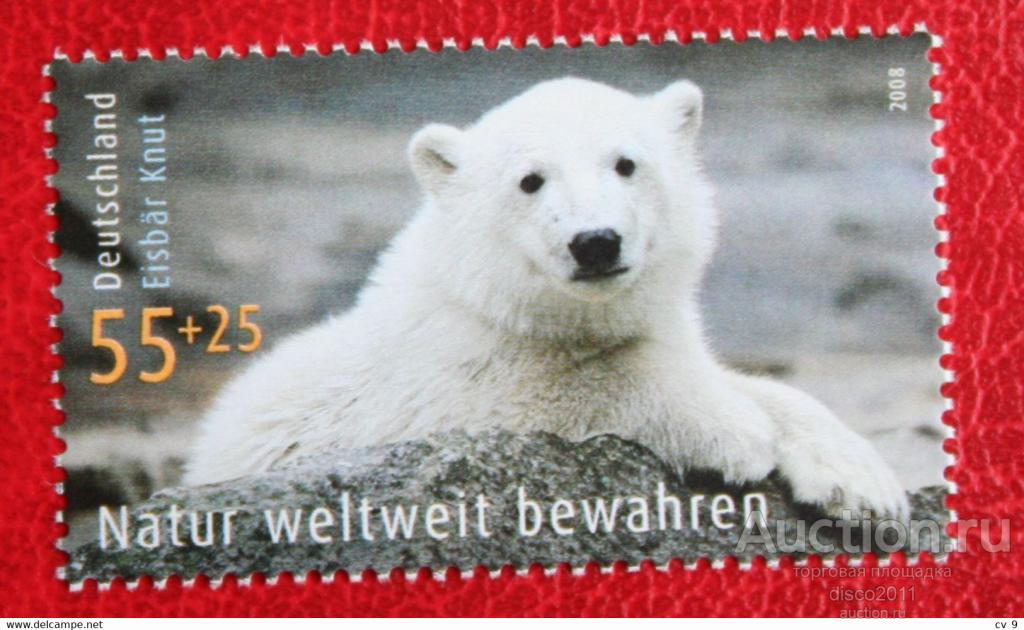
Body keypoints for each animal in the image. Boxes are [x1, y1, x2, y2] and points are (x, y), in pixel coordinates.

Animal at [184, 77, 909, 521]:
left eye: (627, 163)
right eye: (530, 180)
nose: (596, 242)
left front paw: (861, 483)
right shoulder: (425, 390)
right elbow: (562, 384)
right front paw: (731, 430)